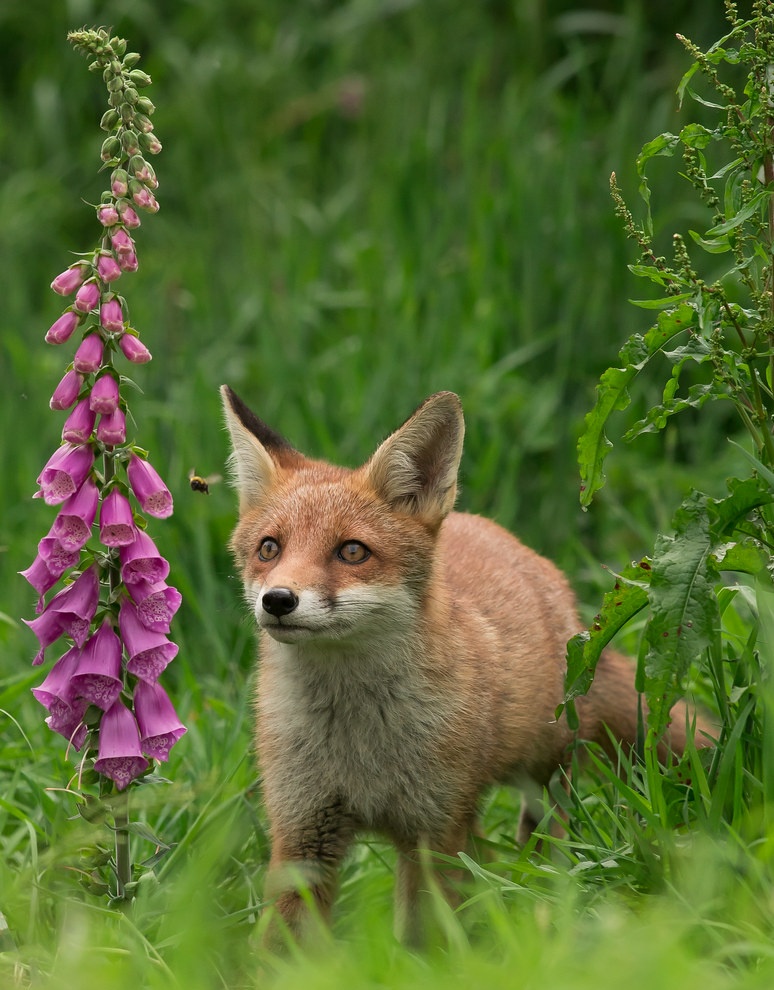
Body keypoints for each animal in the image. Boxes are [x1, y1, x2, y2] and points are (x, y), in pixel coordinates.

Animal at [220, 385, 709, 949]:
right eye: (269, 548)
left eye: (352, 551)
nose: (278, 600)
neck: (358, 744)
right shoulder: (302, 833)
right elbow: (282, 950)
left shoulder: (433, 828)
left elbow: (423, 940)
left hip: (543, 774)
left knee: (546, 834)